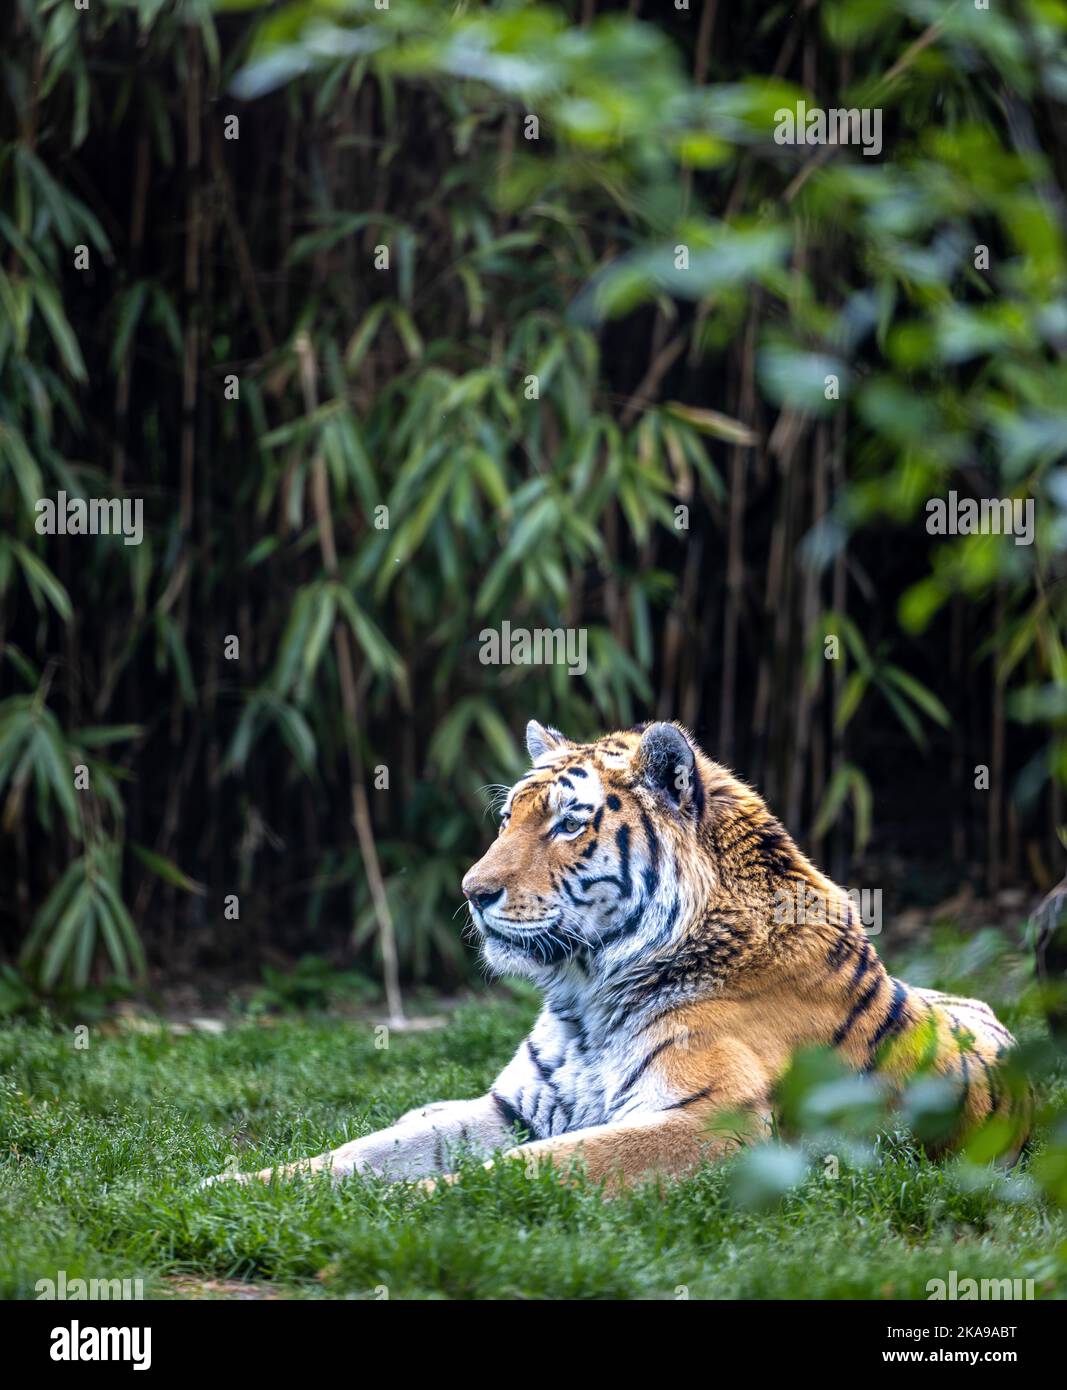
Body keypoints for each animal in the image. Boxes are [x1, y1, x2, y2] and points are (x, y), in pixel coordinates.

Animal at [207, 719, 1029, 1191]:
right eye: (508, 818)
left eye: (569, 823)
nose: (472, 892)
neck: (587, 993)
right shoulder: (515, 1106)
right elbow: (366, 1149)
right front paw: (240, 1187)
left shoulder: (710, 1121)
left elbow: (534, 1168)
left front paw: (419, 1205)